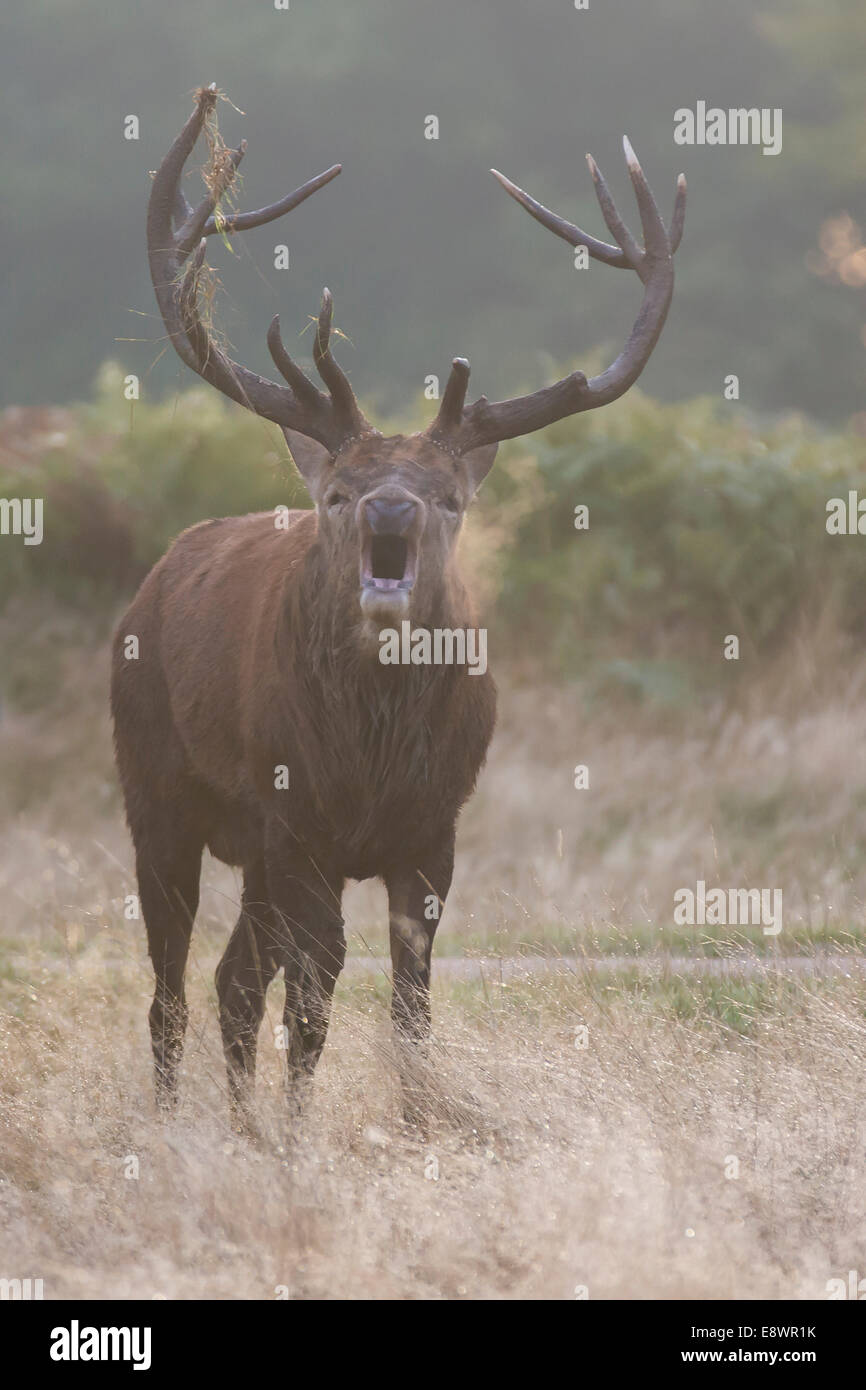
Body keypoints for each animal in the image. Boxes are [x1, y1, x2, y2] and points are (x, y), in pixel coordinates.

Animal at [111, 84, 685, 1127]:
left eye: (448, 496)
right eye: (340, 492)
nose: (388, 508)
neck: (371, 758)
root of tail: (151, 584)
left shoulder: (434, 826)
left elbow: (410, 994)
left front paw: (414, 1120)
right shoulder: (297, 821)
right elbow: (317, 994)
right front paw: (299, 1138)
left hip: (250, 847)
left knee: (229, 980)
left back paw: (239, 1127)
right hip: (157, 789)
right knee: (172, 986)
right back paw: (180, 1127)